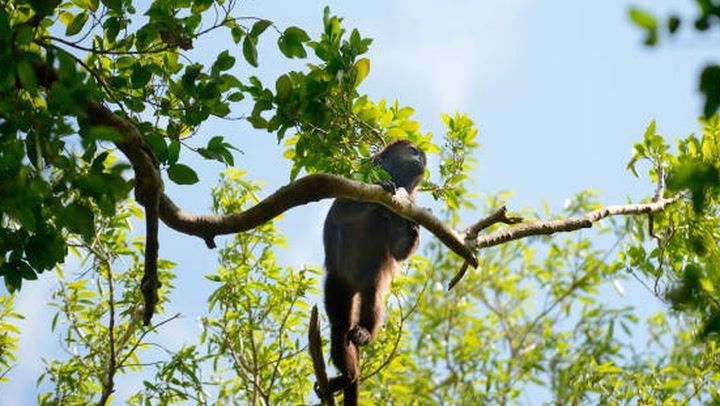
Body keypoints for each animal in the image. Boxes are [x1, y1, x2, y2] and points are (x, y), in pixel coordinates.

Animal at [319, 140, 426, 405]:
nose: (421, 159)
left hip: (371, 279)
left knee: (373, 297)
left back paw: (364, 334)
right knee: (339, 325)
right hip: (337, 284)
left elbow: (398, 250)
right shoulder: (358, 176)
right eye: (413, 151)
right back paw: (348, 376)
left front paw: (412, 228)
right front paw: (382, 186)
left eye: (422, 156)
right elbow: (344, 210)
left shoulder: (410, 201)